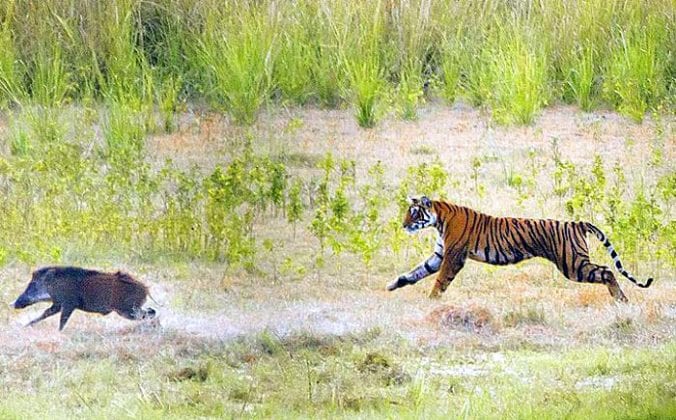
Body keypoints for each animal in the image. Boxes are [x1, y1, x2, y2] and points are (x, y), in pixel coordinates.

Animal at [387, 196, 654, 302]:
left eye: (414, 213)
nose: (403, 225)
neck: (438, 219)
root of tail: (576, 223)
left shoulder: (453, 255)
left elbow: (441, 279)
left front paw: (432, 299)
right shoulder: (440, 253)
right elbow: (417, 271)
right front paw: (393, 285)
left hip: (572, 264)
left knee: (607, 271)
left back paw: (621, 300)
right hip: (575, 263)